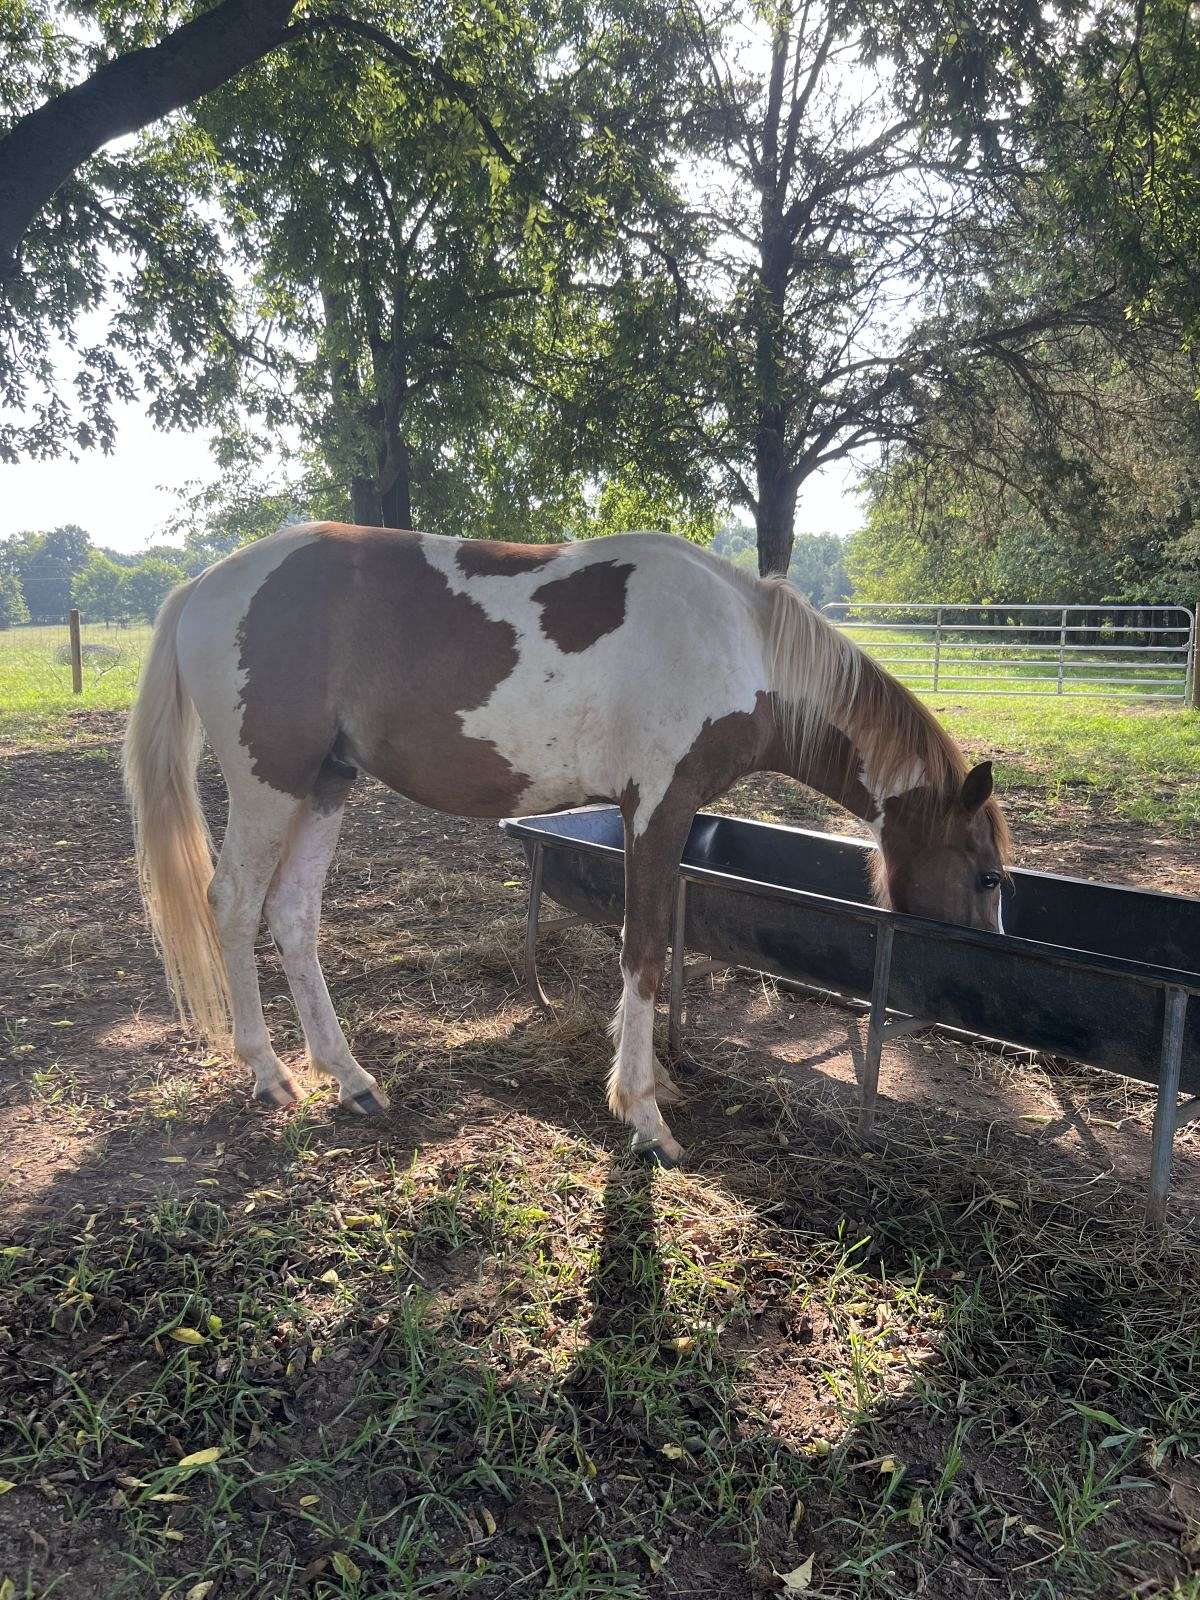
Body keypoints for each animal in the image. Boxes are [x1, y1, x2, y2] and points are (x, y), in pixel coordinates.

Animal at [123, 522, 1010, 1165]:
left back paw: (349, 1079)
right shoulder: (657, 808)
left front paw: (653, 1086)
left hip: (326, 782)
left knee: (293, 915)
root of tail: (205, 583)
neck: (738, 643)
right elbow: (642, 950)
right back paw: (269, 1075)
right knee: (235, 904)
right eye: (989, 878)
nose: (967, 981)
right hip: (270, 783)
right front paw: (644, 1114)